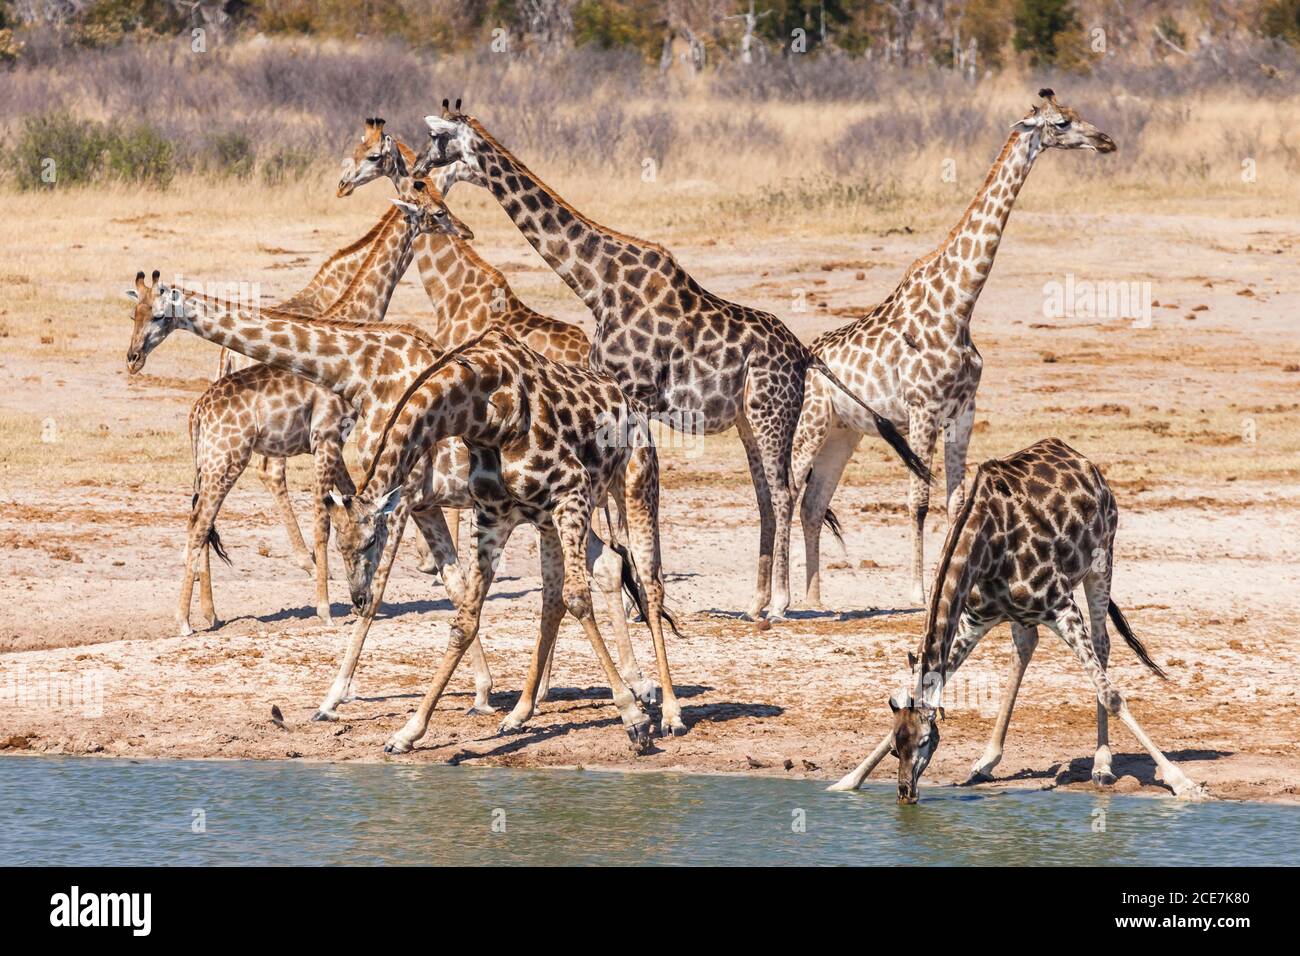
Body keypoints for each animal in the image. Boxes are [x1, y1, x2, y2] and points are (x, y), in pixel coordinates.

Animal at [323, 328, 683, 754]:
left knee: (649, 587)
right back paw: (519, 713)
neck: (481, 410)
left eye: (368, 542)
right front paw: (408, 732)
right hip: (548, 519)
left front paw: (634, 718)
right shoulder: (492, 517)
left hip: (636, 485)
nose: (357, 598)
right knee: (565, 590)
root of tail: (634, 408)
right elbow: (464, 621)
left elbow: (579, 598)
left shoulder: (571, 489)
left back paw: (671, 714)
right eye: (338, 547)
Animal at [415, 101, 931, 621]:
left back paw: (780, 603)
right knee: (766, 497)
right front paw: (638, 599)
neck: (597, 285)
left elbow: (635, 495)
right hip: (749, 421)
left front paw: (645, 599)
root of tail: (804, 355)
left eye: (436, 140)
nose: (420, 172)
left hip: (772, 413)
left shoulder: (637, 395)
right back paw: (754, 601)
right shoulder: (616, 395)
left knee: (784, 493)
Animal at [790, 89, 1116, 612]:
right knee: (788, 490)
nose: (1106, 141)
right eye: (1062, 123)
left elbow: (956, 502)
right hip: (813, 422)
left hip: (844, 432)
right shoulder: (922, 410)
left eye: (1078, 114)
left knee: (814, 503)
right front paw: (919, 591)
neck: (960, 305)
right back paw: (780, 598)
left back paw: (815, 599)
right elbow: (918, 501)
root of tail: (807, 356)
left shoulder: (963, 410)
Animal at [827, 438, 1206, 803]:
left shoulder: (1063, 607)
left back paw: (1102, 765)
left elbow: (1111, 695)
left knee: (1102, 646)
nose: (906, 793)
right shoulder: (974, 619)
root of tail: (1084, 462)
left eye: (924, 741)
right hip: (1021, 614)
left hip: (1102, 561)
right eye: (896, 748)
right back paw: (986, 761)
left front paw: (1183, 783)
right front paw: (847, 781)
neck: (986, 546)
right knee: (1025, 649)